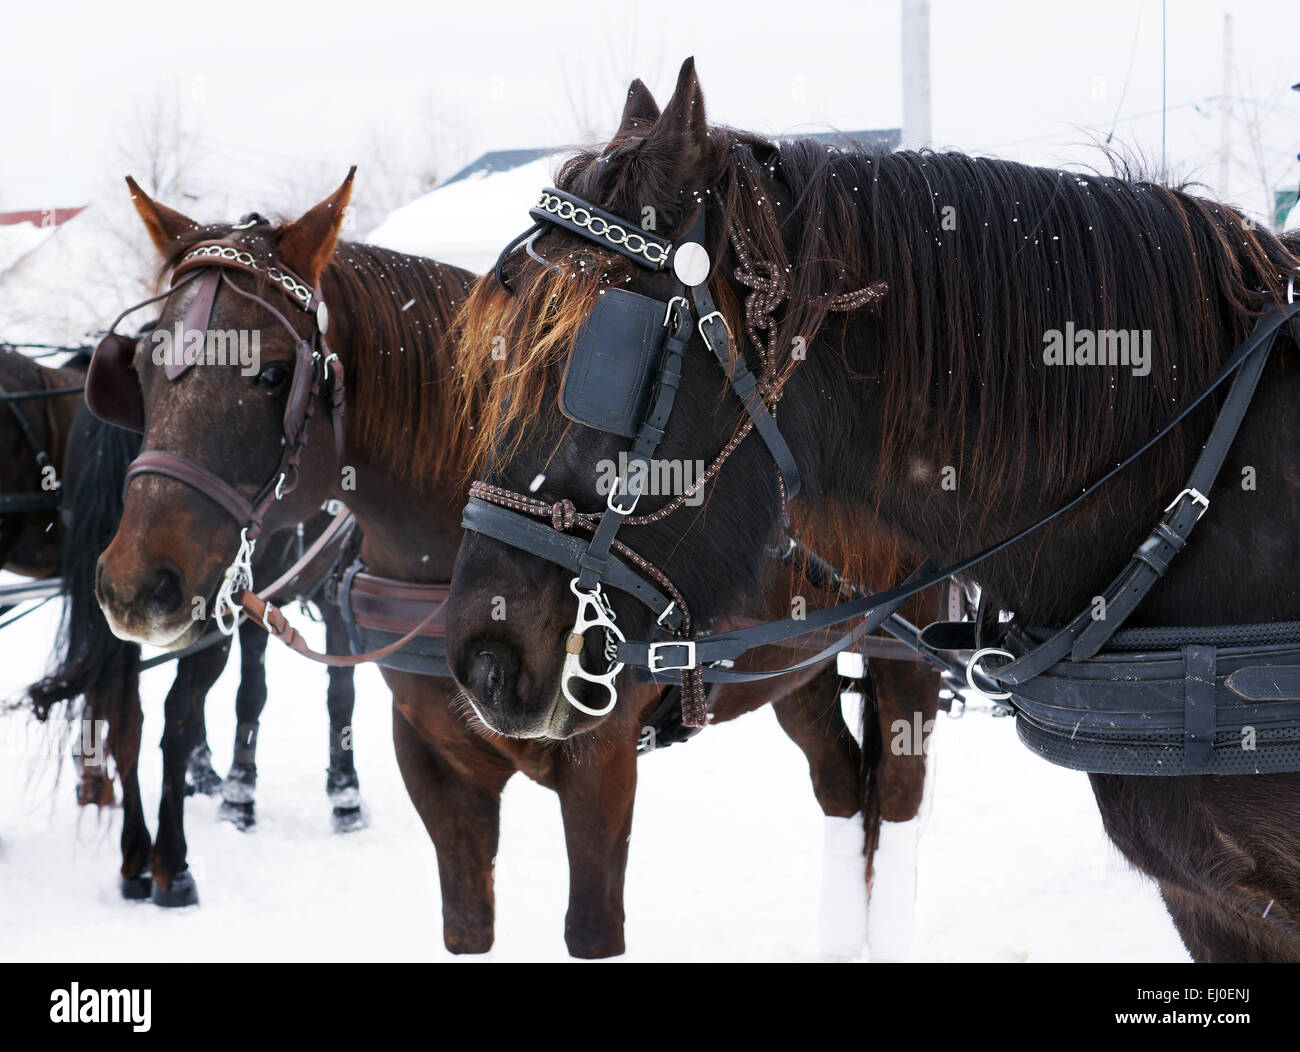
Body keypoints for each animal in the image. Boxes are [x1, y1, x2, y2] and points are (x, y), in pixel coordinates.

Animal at [90, 172, 945, 958]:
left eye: (271, 373)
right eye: (141, 369)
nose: (137, 586)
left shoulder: (601, 768)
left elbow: (592, 927)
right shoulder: (435, 765)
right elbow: (467, 923)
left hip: (909, 645)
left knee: (899, 800)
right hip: (796, 661)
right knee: (841, 786)